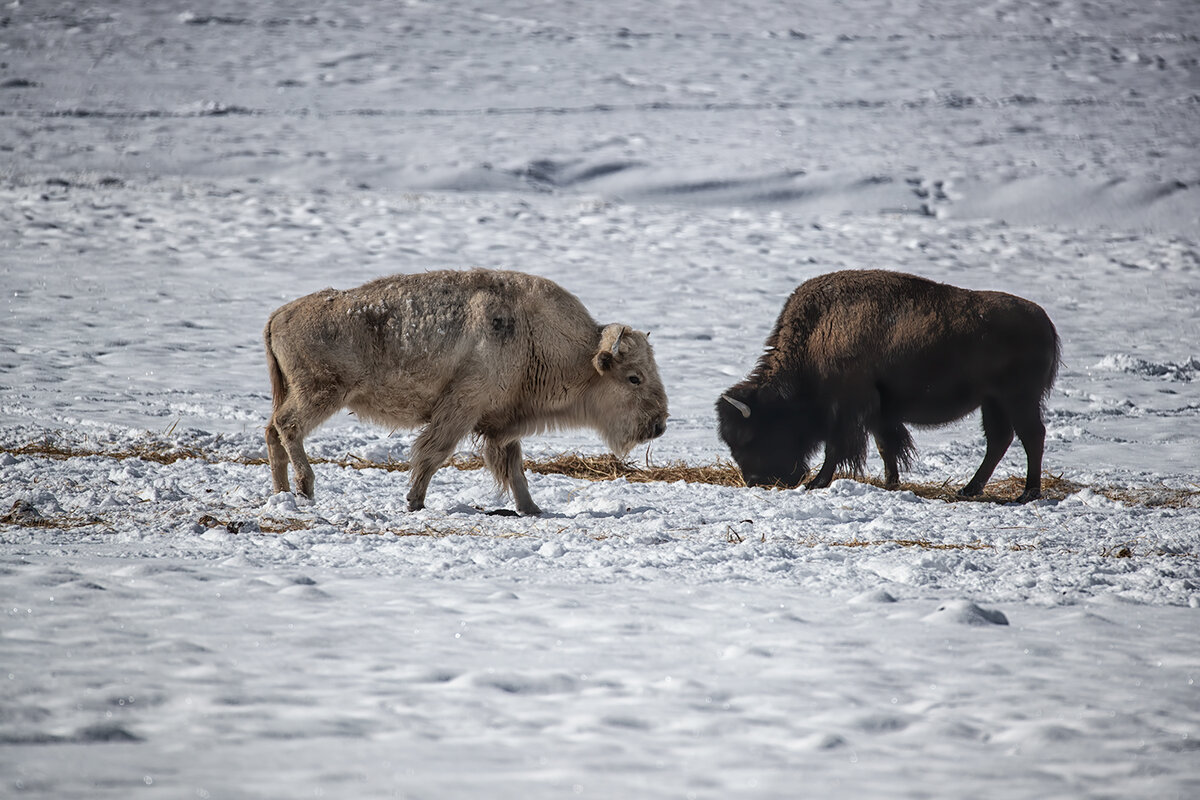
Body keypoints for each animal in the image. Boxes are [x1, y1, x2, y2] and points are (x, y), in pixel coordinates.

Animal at [264, 269, 668, 515]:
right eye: (634, 378)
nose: (659, 424)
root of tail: (279, 315)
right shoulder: (460, 409)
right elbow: (433, 454)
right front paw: (414, 502)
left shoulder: (502, 421)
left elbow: (515, 468)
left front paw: (531, 508)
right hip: (322, 393)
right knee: (288, 426)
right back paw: (305, 488)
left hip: (297, 392)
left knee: (272, 431)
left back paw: (282, 494)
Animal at [718, 270, 1060, 502]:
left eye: (751, 435)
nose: (756, 480)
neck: (817, 334)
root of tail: (1044, 321)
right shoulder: (878, 412)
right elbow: (885, 446)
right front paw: (891, 482)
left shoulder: (847, 409)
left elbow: (837, 448)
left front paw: (818, 482)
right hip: (993, 402)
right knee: (1000, 440)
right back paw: (969, 489)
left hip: (1017, 398)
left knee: (1032, 436)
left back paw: (1027, 493)